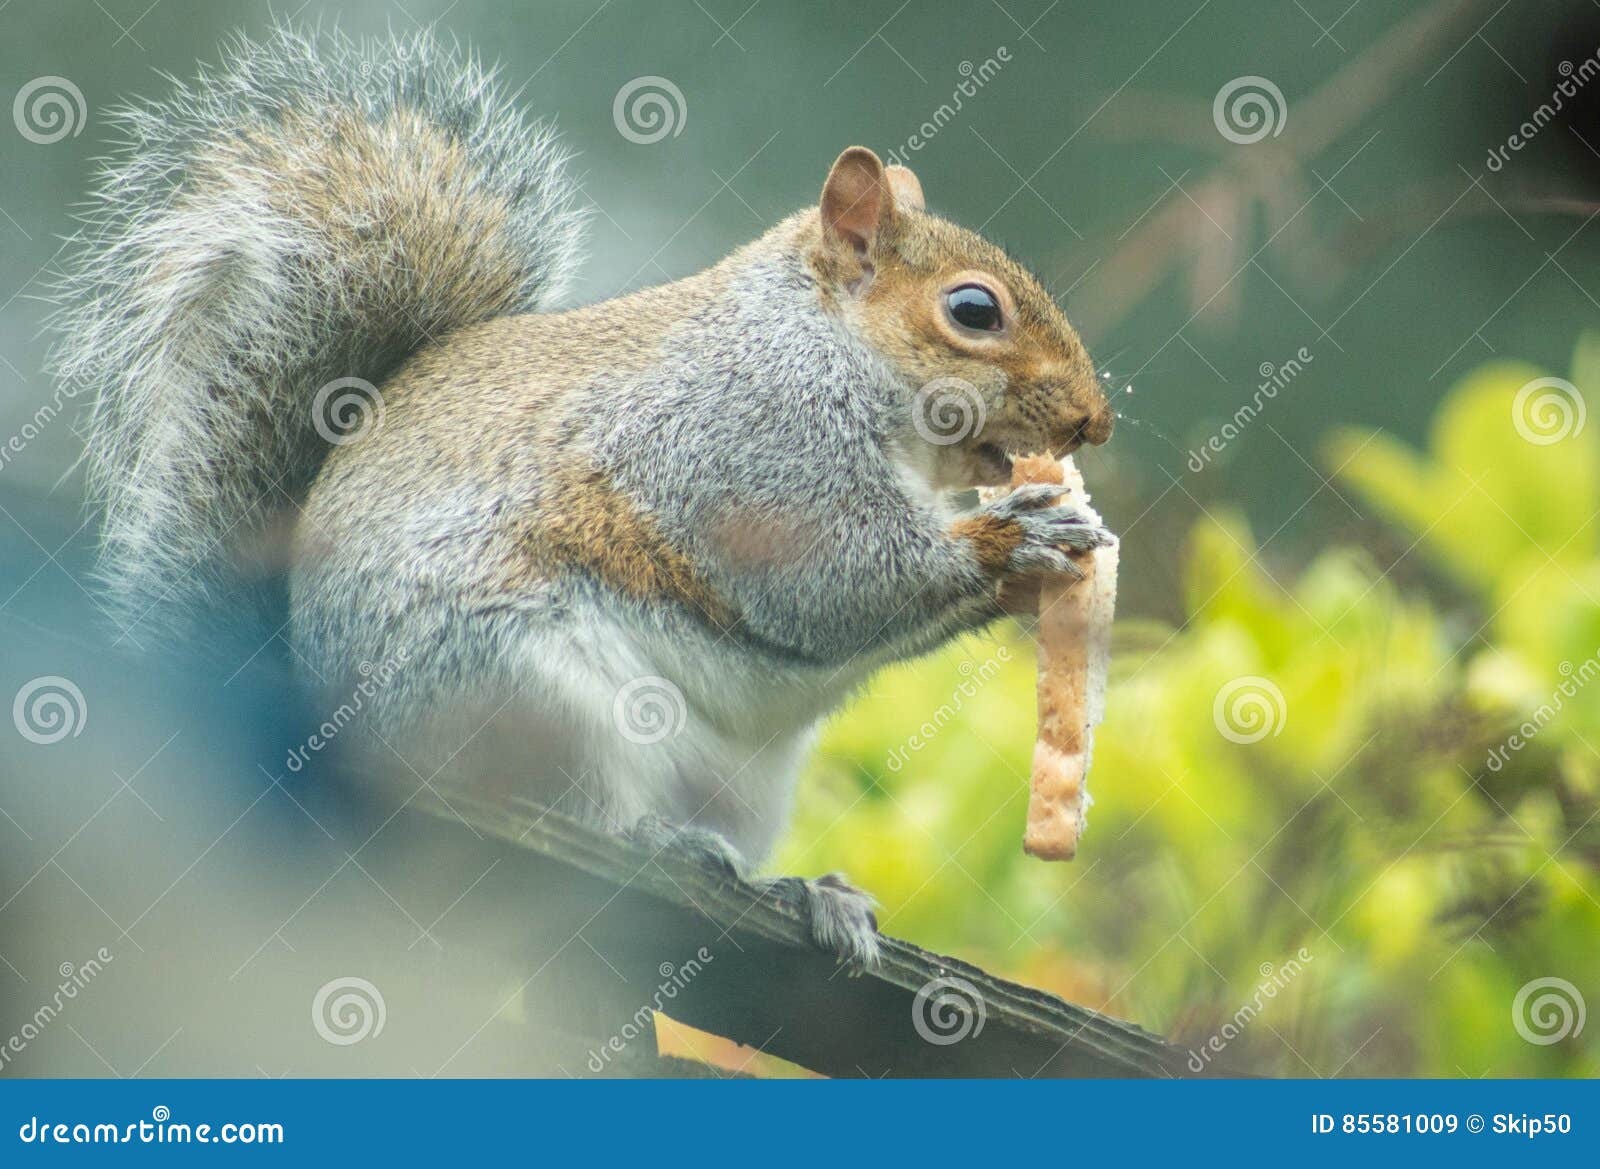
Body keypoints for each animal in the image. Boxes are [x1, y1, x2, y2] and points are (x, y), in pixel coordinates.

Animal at [49, 26, 1114, 967]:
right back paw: (664, 845)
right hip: (530, 691)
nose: (1093, 423)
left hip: (738, 780)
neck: (824, 347)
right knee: (581, 828)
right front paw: (1010, 541)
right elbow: (836, 577)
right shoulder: (743, 446)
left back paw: (805, 892)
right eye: (972, 309)